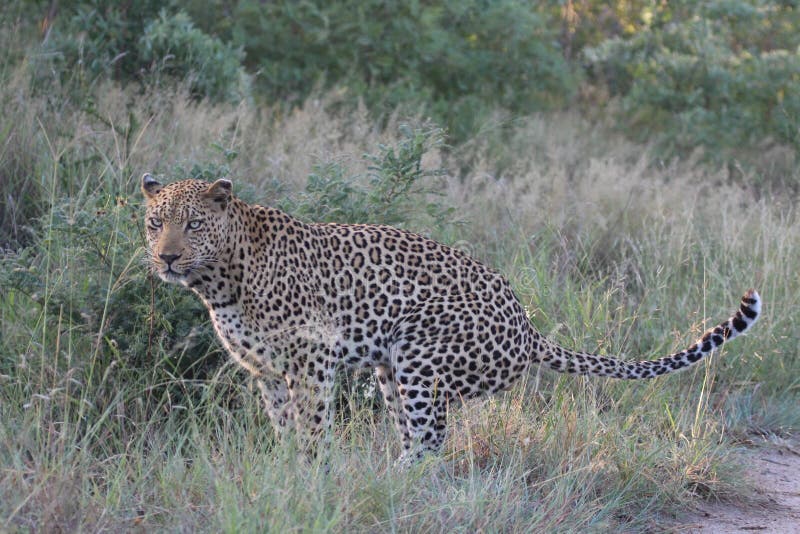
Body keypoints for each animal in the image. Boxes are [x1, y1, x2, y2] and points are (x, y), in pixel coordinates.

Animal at [141, 174, 761, 462]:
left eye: (194, 224)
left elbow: (313, 431)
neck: (221, 280)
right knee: (419, 440)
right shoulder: (269, 373)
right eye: (154, 223)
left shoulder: (314, 361)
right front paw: (287, 472)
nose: (166, 257)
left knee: (430, 442)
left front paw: (311, 476)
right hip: (391, 371)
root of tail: (528, 327)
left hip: (420, 358)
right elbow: (284, 429)